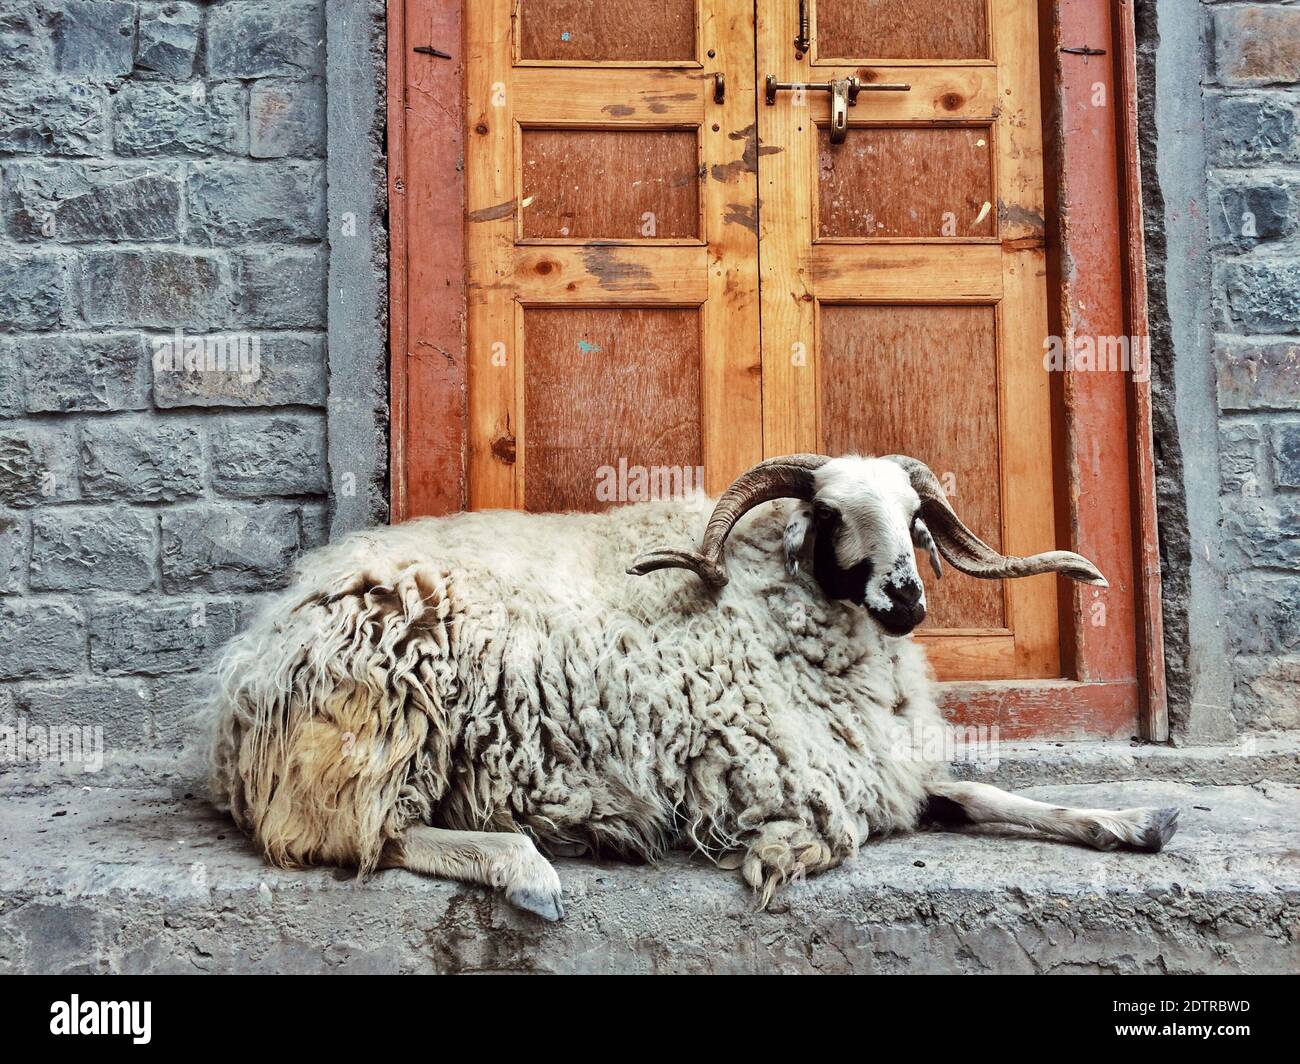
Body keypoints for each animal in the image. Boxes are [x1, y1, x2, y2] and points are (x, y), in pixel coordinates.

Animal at [208, 453, 1179, 920]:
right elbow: (837, 832)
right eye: (830, 514)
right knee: (371, 835)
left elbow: (979, 794)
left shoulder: (876, 765)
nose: (907, 598)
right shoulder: (783, 774)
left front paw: (1133, 822)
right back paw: (535, 869)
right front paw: (780, 858)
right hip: (385, 724)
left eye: (916, 518)